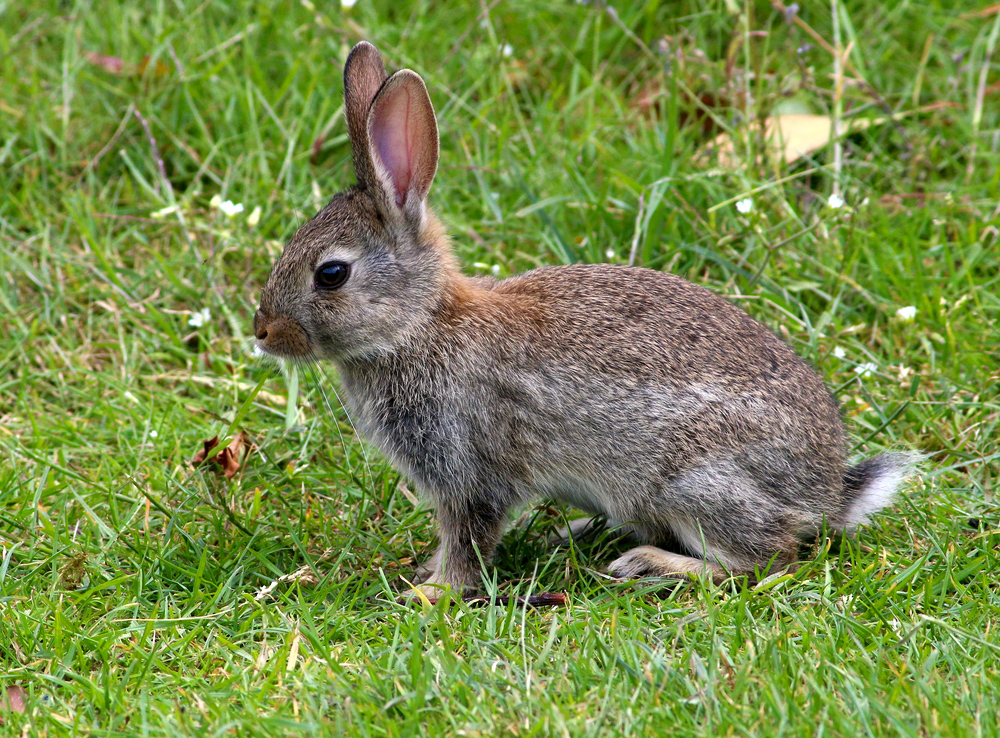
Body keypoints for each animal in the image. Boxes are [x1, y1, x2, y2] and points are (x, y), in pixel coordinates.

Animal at [253, 41, 917, 597]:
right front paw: (424, 576)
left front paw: (431, 594)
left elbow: (469, 537)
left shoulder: (470, 468)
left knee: (766, 557)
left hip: (697, 482)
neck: (419, 326)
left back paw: (649, 563)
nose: (263, 332)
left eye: (331, 274)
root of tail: (828, 492)